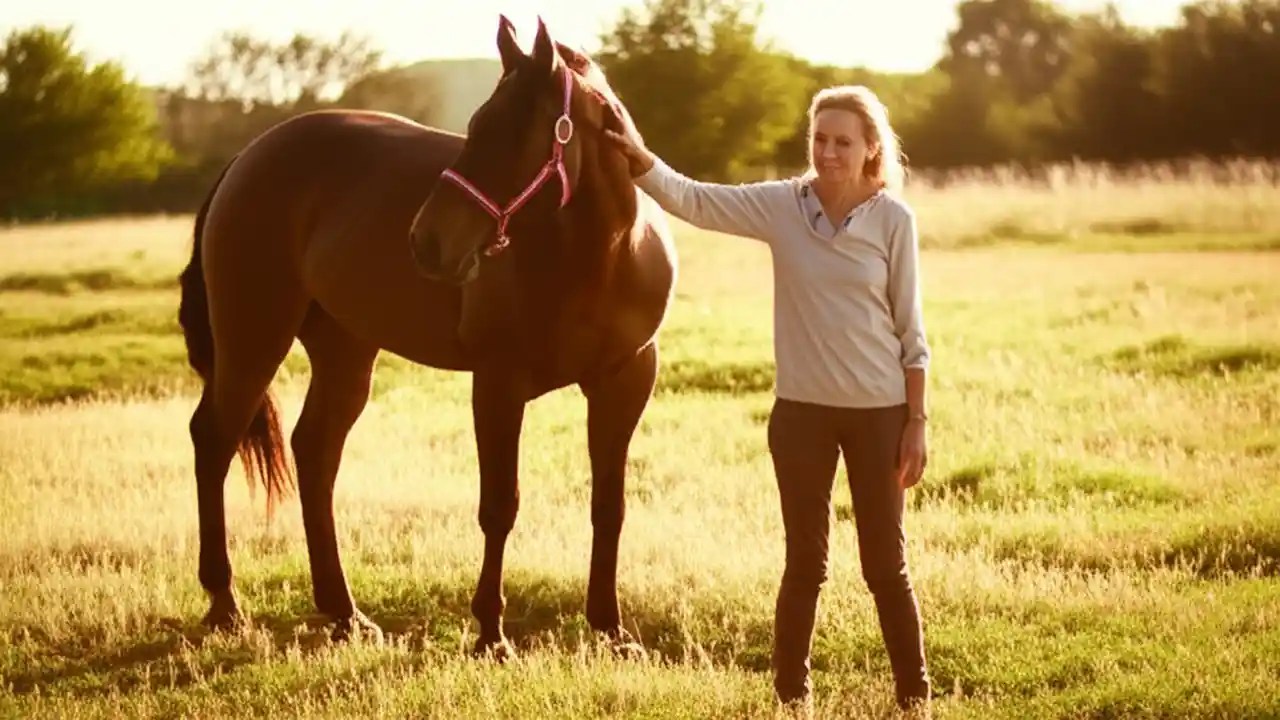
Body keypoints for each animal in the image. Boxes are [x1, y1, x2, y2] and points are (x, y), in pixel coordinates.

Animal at [177, 15, 676, 656]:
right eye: (476, 127)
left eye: (514, 134)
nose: (429, 241)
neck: (601, 257)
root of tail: (248, 155)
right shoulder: (498, 384)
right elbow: (500, 506)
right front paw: (490, 635)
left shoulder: (625, 381)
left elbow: (608, 506)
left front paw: (611, 630)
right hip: (252, 340)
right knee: (214, 440)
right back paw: (225, 605)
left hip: (345, 350)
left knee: (315, 452)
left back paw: (344, 613)